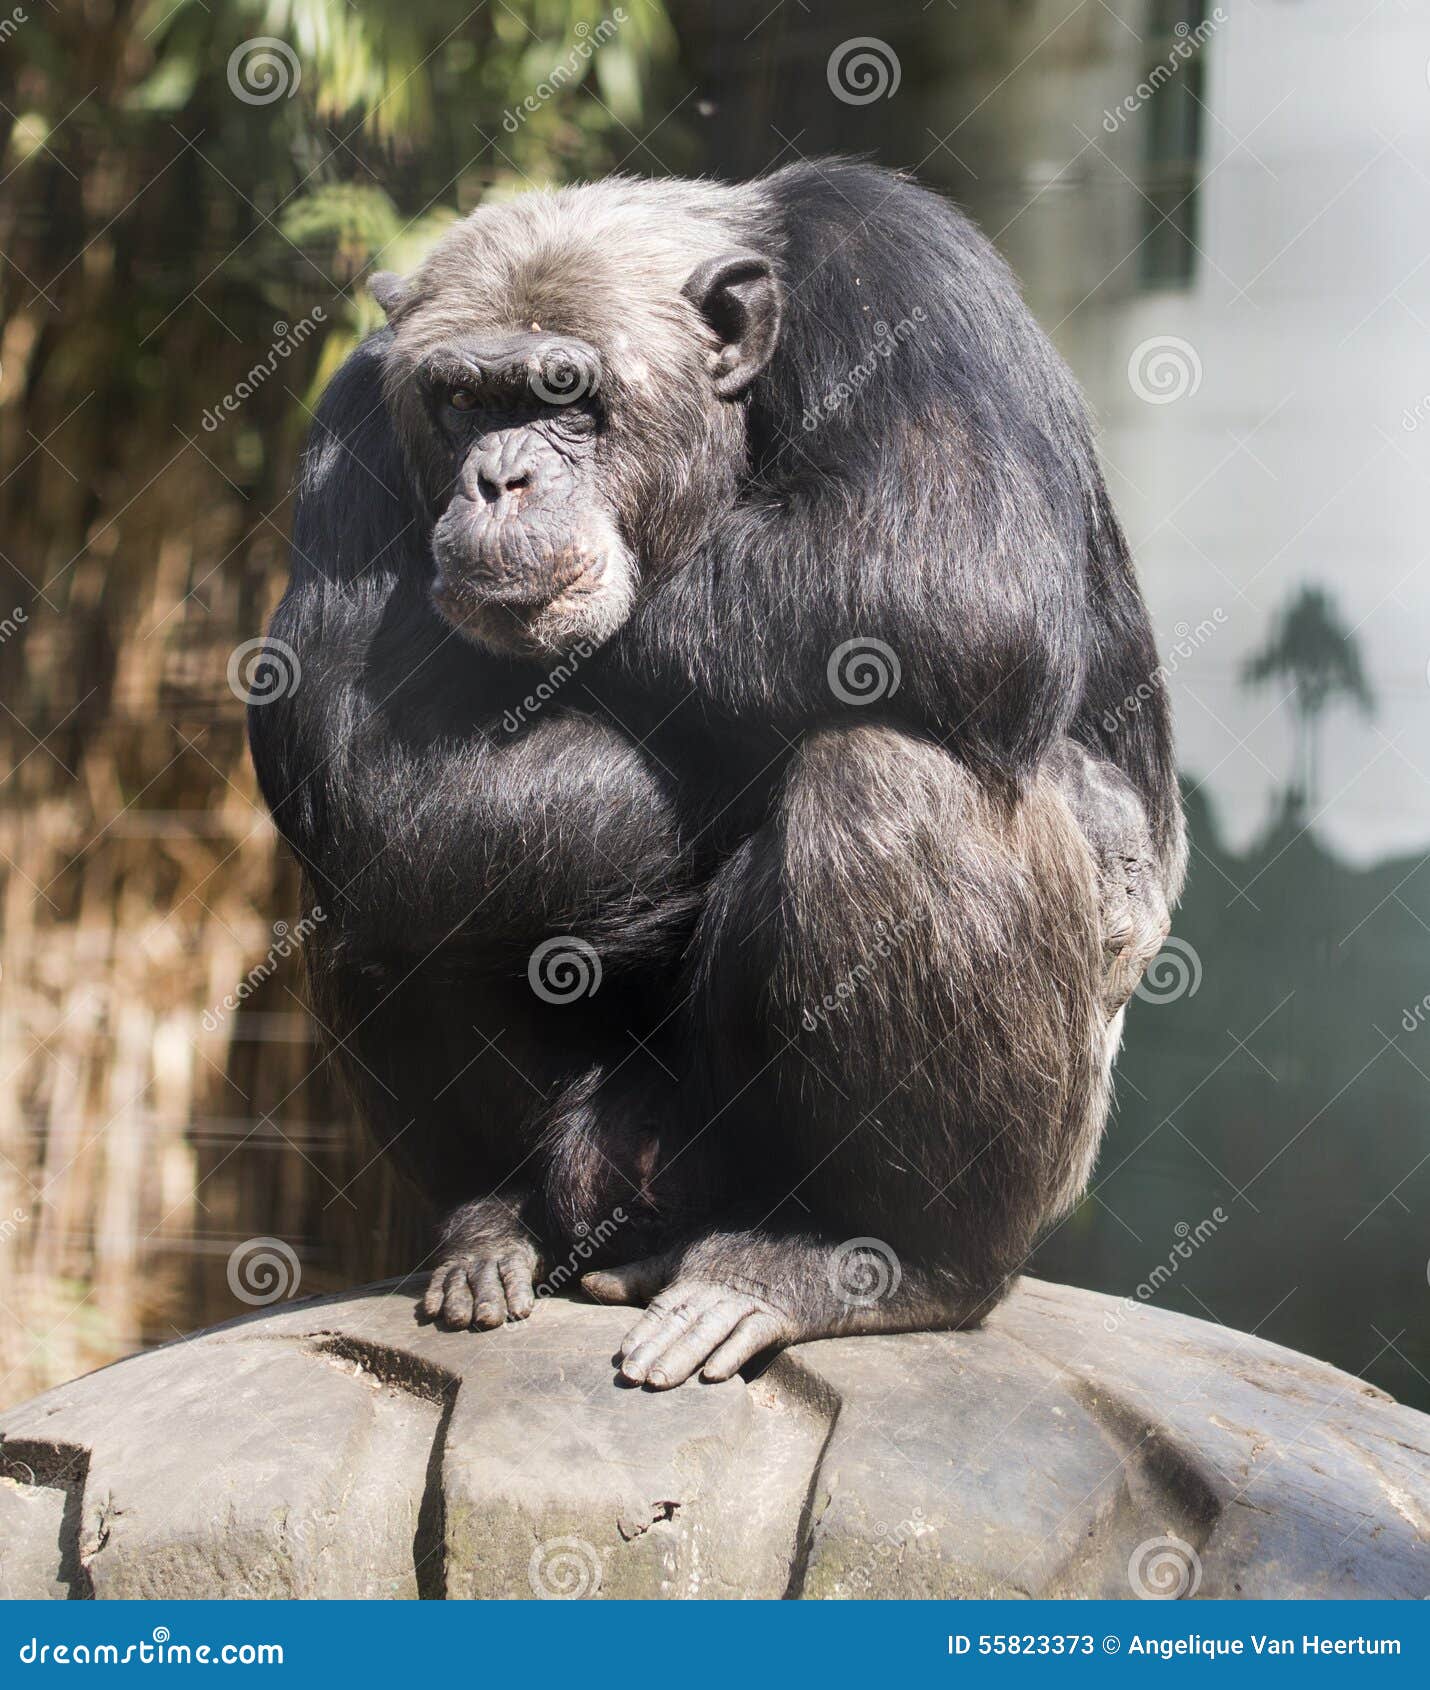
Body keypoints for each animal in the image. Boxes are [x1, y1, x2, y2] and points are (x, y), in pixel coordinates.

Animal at [248, 159, 1183, 1389]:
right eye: (460, 403)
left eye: (563, 392)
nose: (497, 479)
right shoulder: (354, 417)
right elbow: (358, 759)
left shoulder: (902, 264)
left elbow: (958, 574)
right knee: (380, 883)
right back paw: (490, 1224)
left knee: (891, 776)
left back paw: (873, 1260)